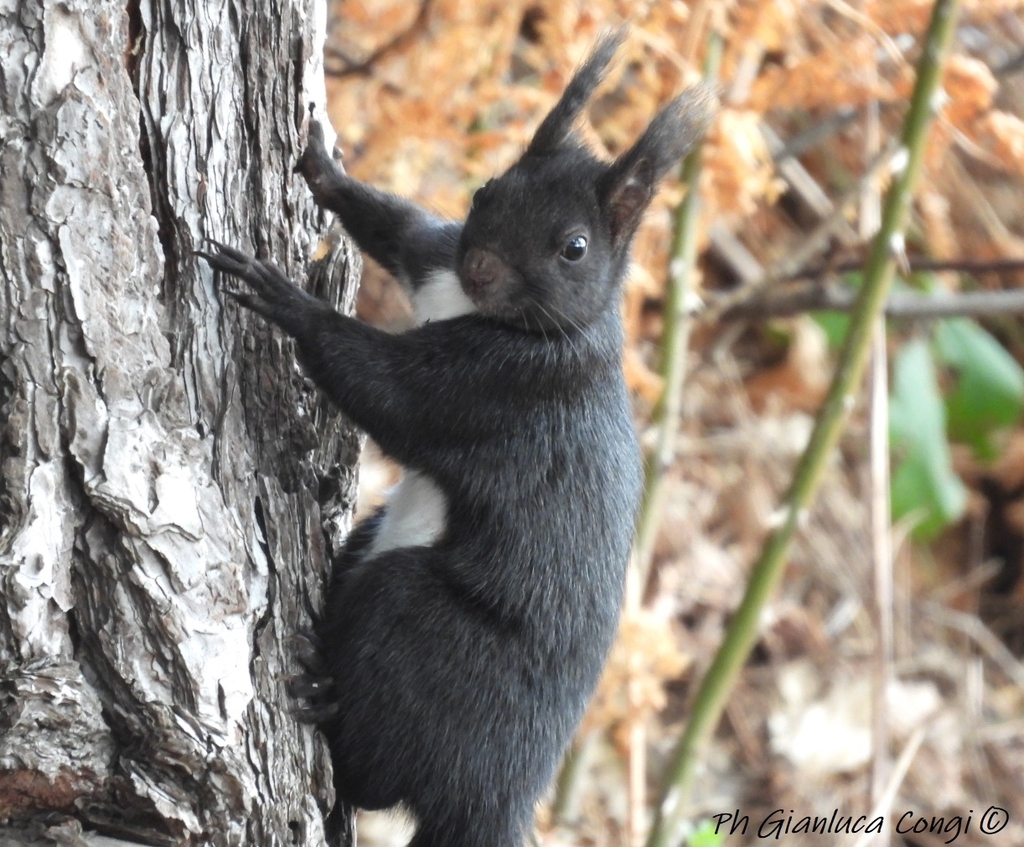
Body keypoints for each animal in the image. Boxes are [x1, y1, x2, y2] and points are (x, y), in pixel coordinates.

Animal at [199, 31, 713, 847]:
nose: (481, 265)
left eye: (574, 247)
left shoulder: (498, 390)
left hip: (418, 623)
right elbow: (400, 229)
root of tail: (497, 795)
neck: (481, 309)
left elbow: (389, 393)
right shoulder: (434, 261)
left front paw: (288, 299)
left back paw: (325, 705)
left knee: (375, 778)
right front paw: (322, 166)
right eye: (484, 192)